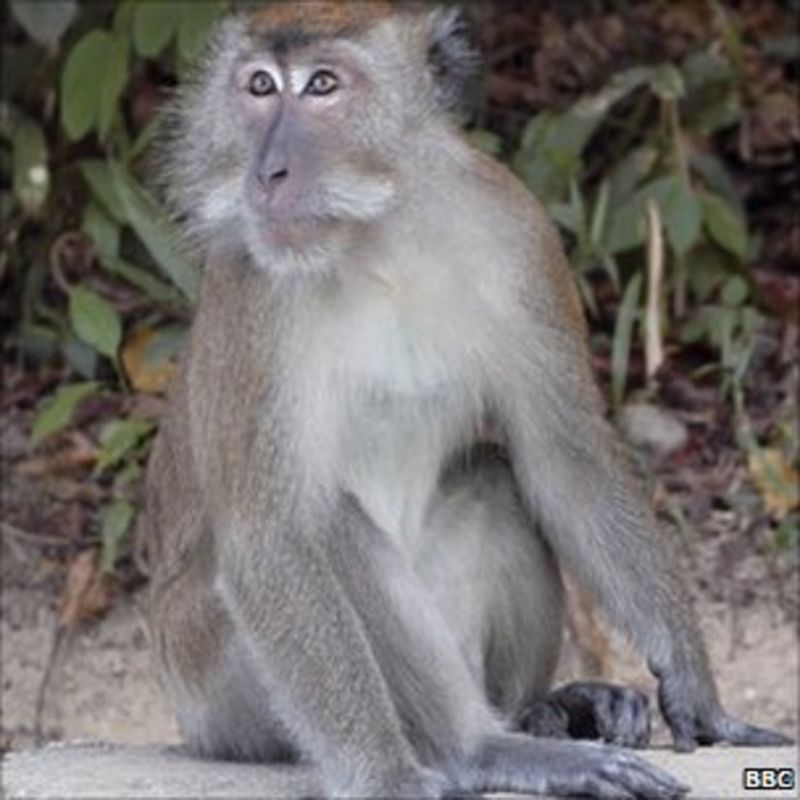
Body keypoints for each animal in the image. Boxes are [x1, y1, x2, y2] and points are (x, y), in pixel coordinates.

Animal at [142, 2, 791, 798]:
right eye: (259, 86)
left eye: (323, 85)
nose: (268, 171)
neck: (376, 236)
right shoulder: (250, 286)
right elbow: (271, 539)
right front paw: (385, 779)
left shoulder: (516, 230)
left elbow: (563, 458)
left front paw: (694, 682)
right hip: (211, 682)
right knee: (328, 524)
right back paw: (480, 748)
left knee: (495, 480)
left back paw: (539, 711)